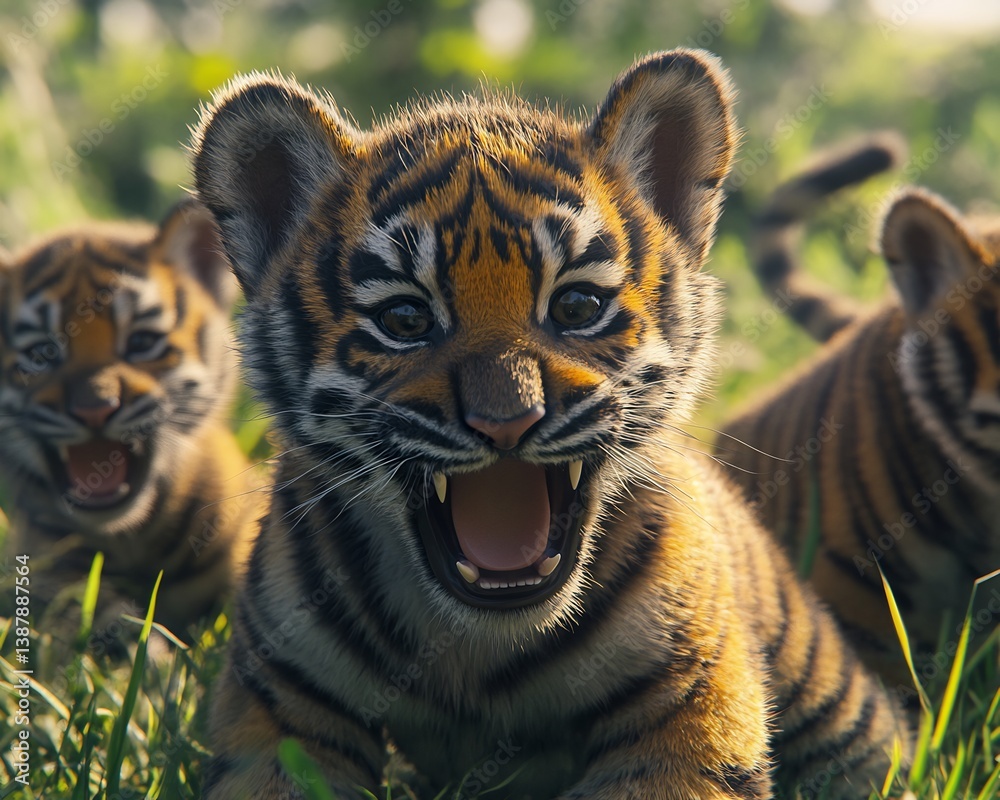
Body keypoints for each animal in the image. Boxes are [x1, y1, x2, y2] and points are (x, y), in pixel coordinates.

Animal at [193, 51, 910, 800]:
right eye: (405, 320)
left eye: (577, 307)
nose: (507, 423)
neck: (474, 643)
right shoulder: (282, 704)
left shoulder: (685, 704)